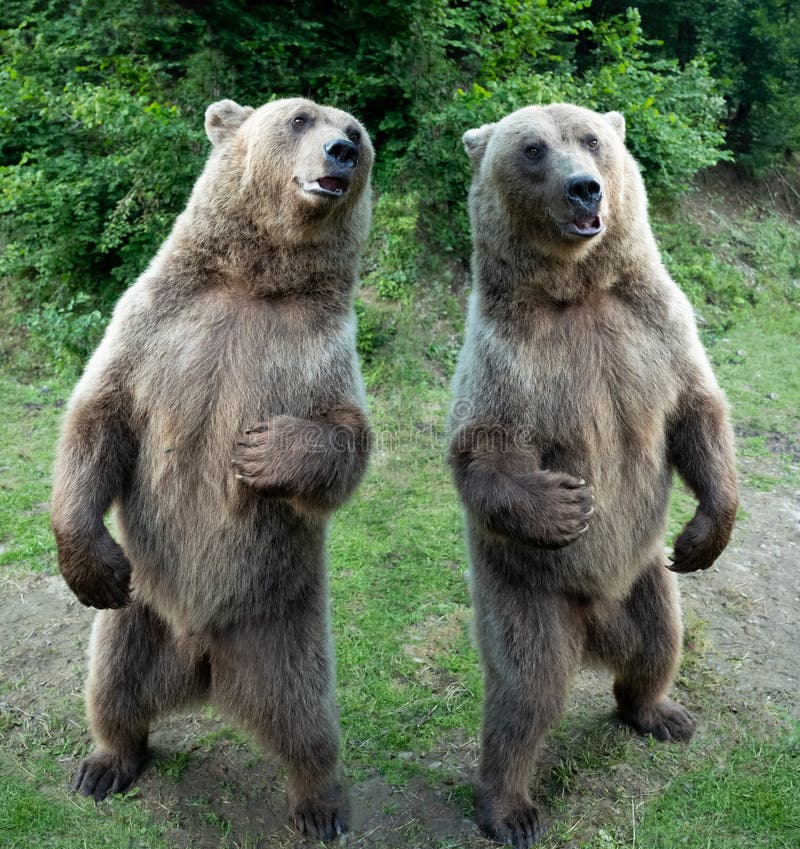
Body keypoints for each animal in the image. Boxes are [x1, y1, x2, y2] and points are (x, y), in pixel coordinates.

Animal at [50, 97, 374, 841]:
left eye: (357, 131)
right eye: (300, 118)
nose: (342, 151)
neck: (254, 281)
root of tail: (203, 663)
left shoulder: (318, 352)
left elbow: (347, 439)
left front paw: (263, 451)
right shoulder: (157, 324)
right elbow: (100, 415)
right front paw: (89, 562)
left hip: (285, 627)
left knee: (308, 721)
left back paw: (321, 804)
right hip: (140, 613)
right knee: (112, 685)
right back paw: (106, 762)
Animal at [448, 103, 738, 847]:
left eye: (591, 139)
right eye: (531, 149)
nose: (585, 188)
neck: (577, 294)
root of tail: (596, 625)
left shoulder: (655, 327)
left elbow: (697, 410)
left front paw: (705, 534)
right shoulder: (509, 359)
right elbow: (481, 447)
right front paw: (562, 505)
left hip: (645, 580)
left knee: (660, 645)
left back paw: (660, 711)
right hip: (525, 591)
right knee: (526, 693)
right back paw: (509, 806)